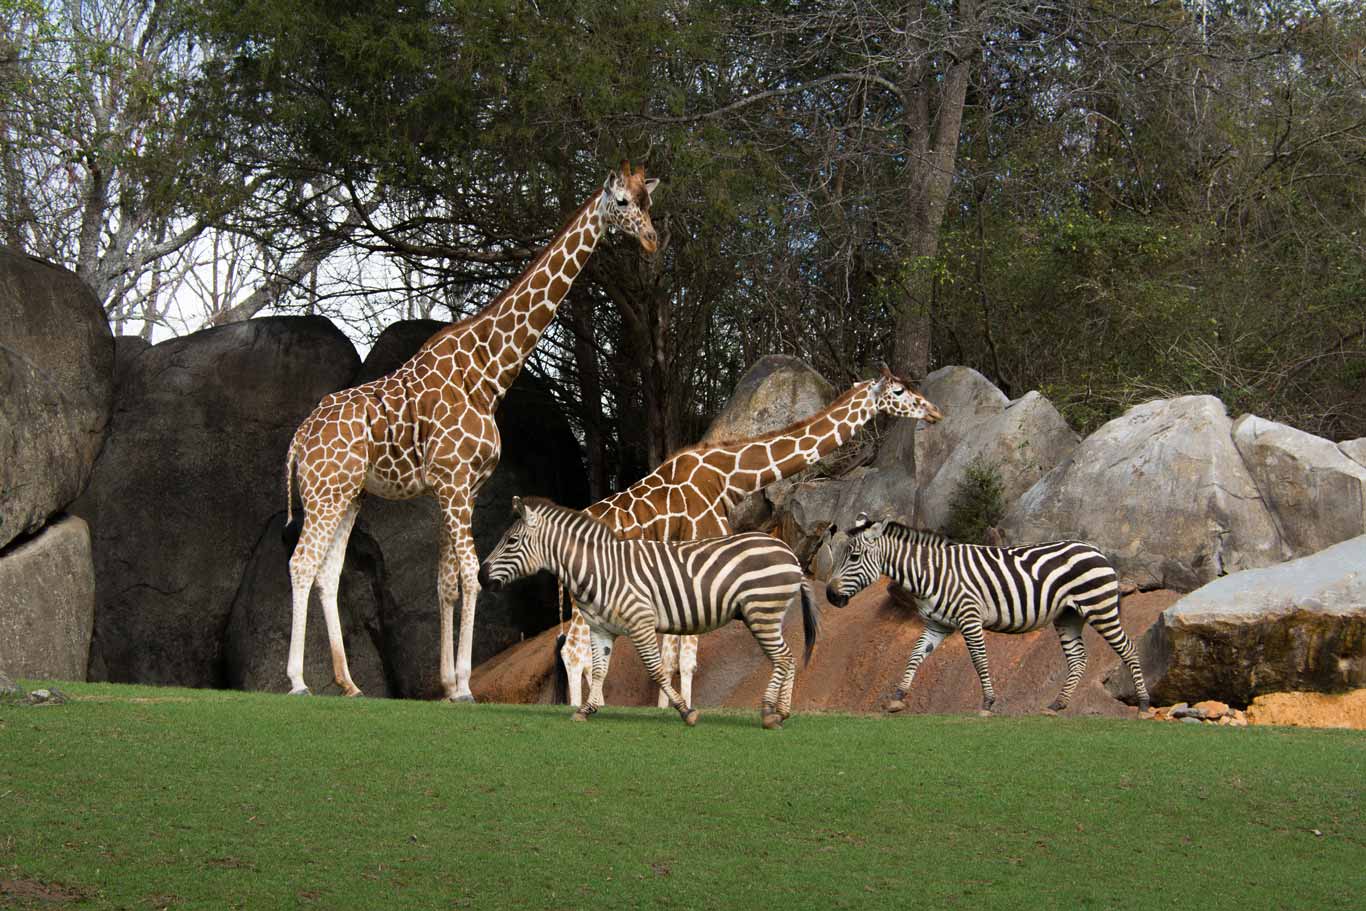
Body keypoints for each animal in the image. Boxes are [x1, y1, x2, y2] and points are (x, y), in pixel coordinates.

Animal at [284, 162, 659, 701]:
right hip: (324, 491)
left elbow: (445, 582)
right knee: (300, 563)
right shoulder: (455, 483)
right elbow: (470, 574)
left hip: (348, 494)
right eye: (623, 203)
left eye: (649, 203)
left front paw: (445, 683)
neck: (486, 373)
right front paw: (463, 686)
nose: (651, 240)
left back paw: (349, 683)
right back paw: (297, 681)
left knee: (326, 573)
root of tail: (298, 440)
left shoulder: (457, 487)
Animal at [478, 496, 819, 729]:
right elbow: (599, 670)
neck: (600, 570)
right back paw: (781, 712)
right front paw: (586, 710)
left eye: (511, 541)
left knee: (783, 658)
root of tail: (789, 553)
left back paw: (769, 712)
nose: (481, 577)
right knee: (788, 658)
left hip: (762, 612)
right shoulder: (601, 629)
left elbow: (655, 669)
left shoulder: (640, 622)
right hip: (765, 614)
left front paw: (686, 711)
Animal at [558, 365, 943, 716]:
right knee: (573, 648)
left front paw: (667, 707)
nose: (934, 412)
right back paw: (578, 708)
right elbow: (685, 653)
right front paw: (684, 707)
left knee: (576, 647)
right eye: (898, 392)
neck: (730, 477)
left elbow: (672, 652)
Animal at [824, 515, 1149, 715]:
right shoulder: (936, 625)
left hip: (1099, 608)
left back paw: (1144, 704)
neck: (931, 572)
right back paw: (1057, 704)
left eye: (854, 557)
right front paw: (897, 697)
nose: (829, 596)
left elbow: (979, 660)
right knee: (1078, 658)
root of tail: (1094, 548)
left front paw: (988, 702)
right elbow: (915, 656)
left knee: (1130, 649)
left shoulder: (970, 618)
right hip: (1068, 616)